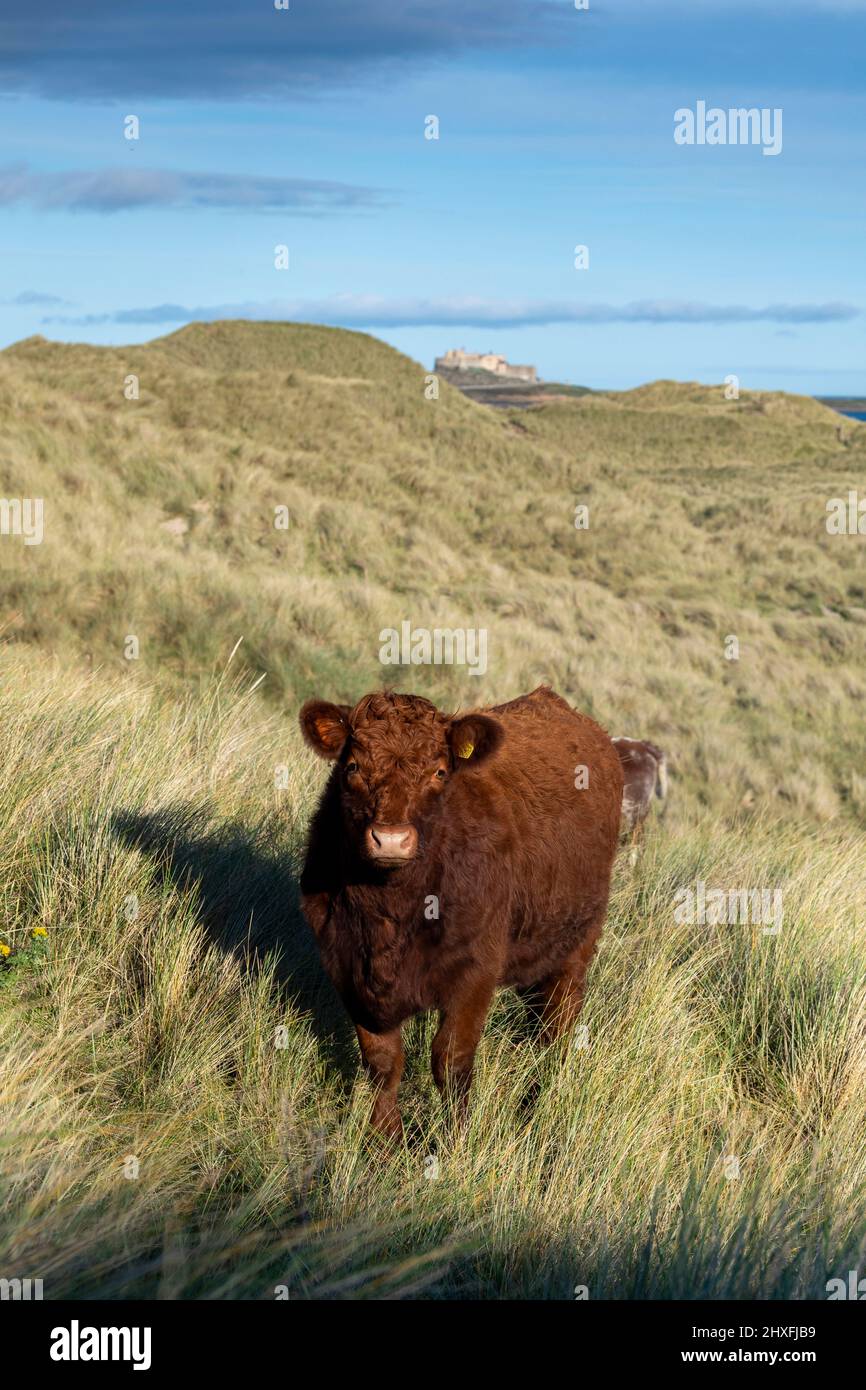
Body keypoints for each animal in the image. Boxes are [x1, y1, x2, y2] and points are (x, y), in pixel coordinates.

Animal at [298, 685, 623, 1138]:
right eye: (353, 766)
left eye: (438, 772)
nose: (390, 839)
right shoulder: (348, 969)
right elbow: (381, 1063)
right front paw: (385, 1140)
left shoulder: (475, 972)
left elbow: (450, 1062)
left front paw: (457, 1139)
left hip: (579, 940)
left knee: (558, 1021)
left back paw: (542, 1097)